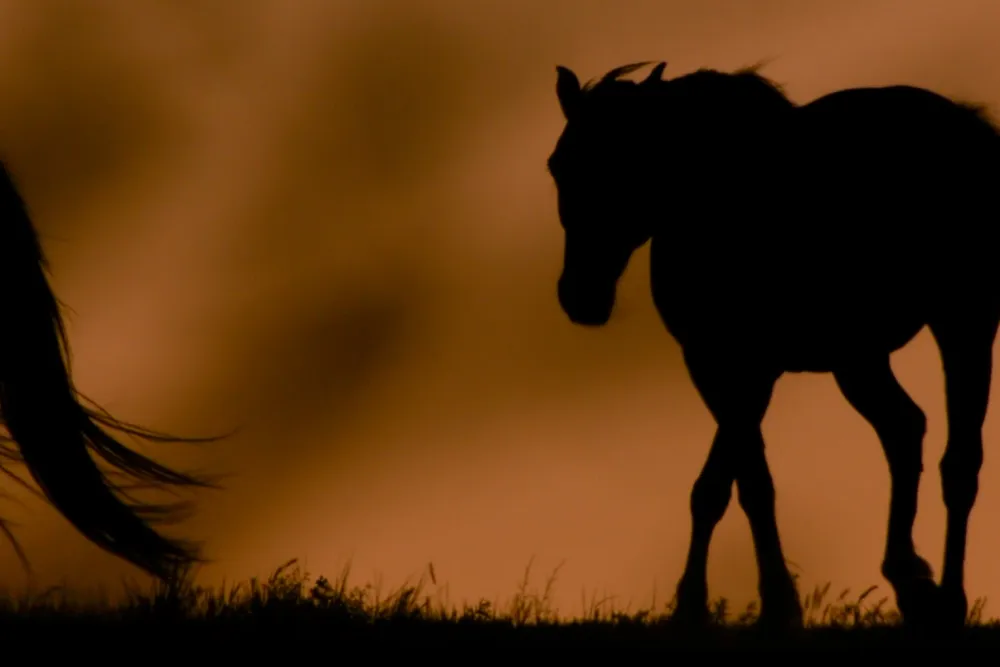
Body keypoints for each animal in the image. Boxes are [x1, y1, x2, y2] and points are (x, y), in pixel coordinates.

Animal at [547, 60, 1000, 632]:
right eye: (559, 166)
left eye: (626, 162)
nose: (581, 296)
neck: (712, 201)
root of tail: (967, 126)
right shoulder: (713, 363)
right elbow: (725, 486)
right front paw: (698, 604)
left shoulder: (752, 369)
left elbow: (747, 483)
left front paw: (771, 603)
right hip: (858, 359)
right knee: (904, 429)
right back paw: (911, 580)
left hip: (964, 320)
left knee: (959, 463)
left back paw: (949, 600)